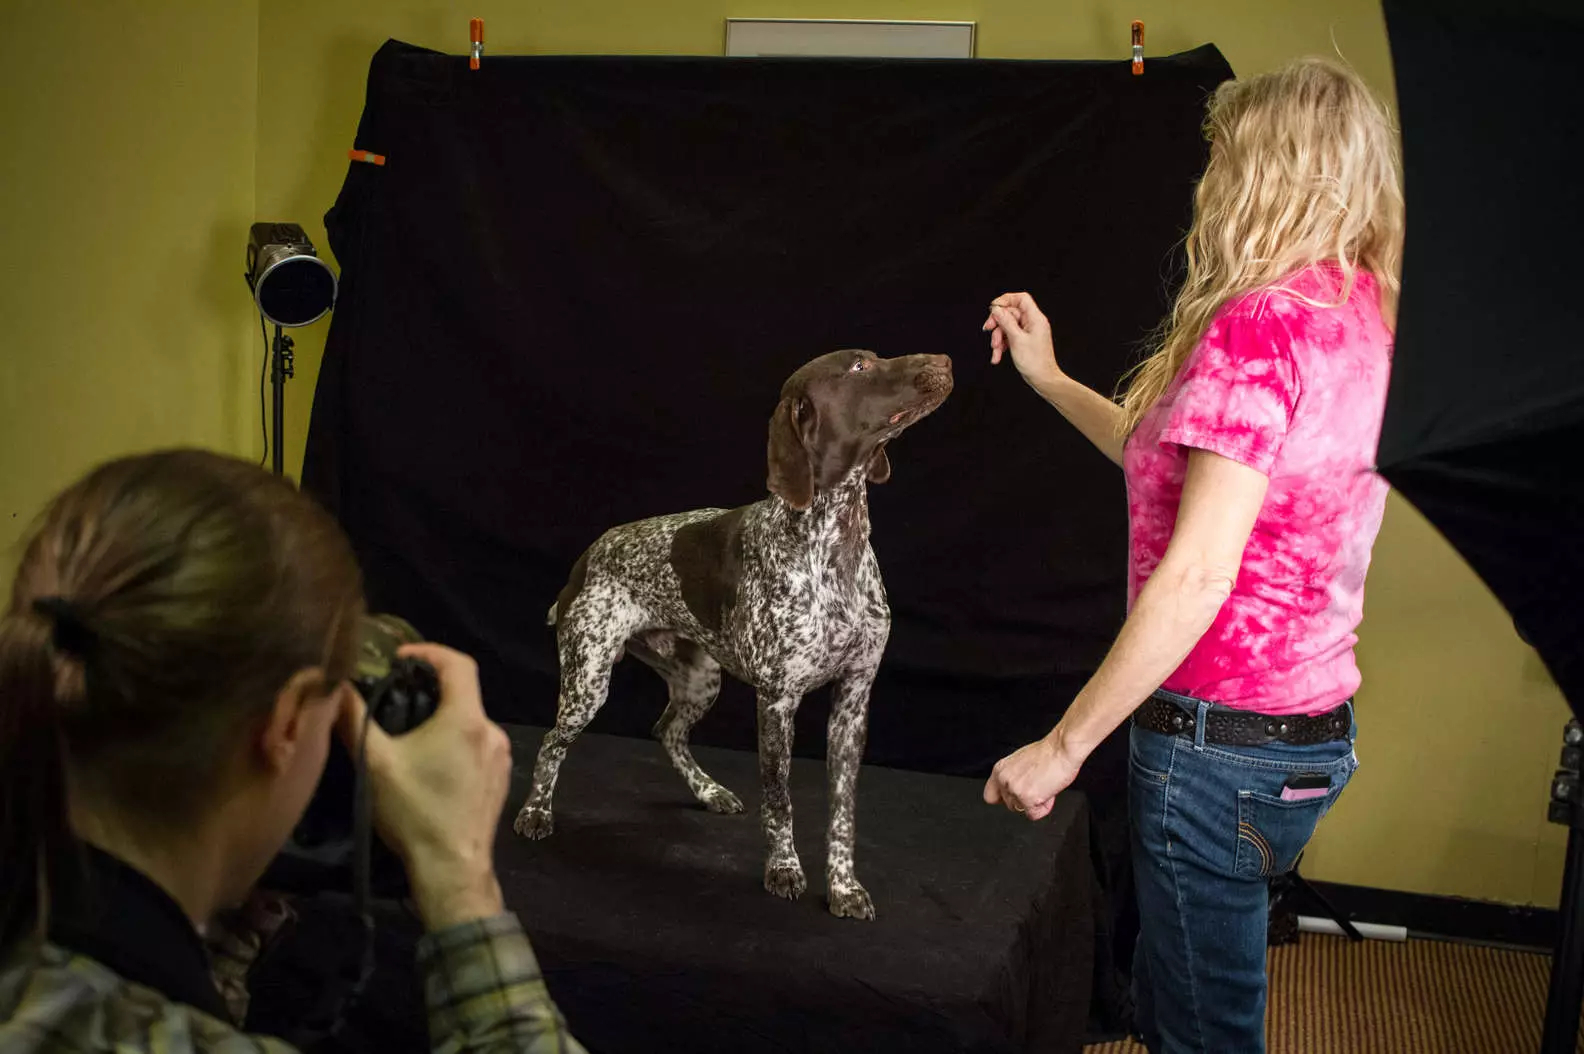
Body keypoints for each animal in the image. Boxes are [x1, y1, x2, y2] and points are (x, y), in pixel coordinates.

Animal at [516, 348, 950, 919]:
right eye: (859, 368)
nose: (943, 359)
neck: (835, 542)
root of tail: (588, 556)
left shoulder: (853, 701)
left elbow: (842, 811)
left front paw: (843, 886)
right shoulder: (778, 702)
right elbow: (780, 800)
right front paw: (783, 869)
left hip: (701, 680)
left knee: (667, 731)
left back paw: (708, 792)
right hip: (588, 681)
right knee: (551, 743)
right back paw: (535, 812)